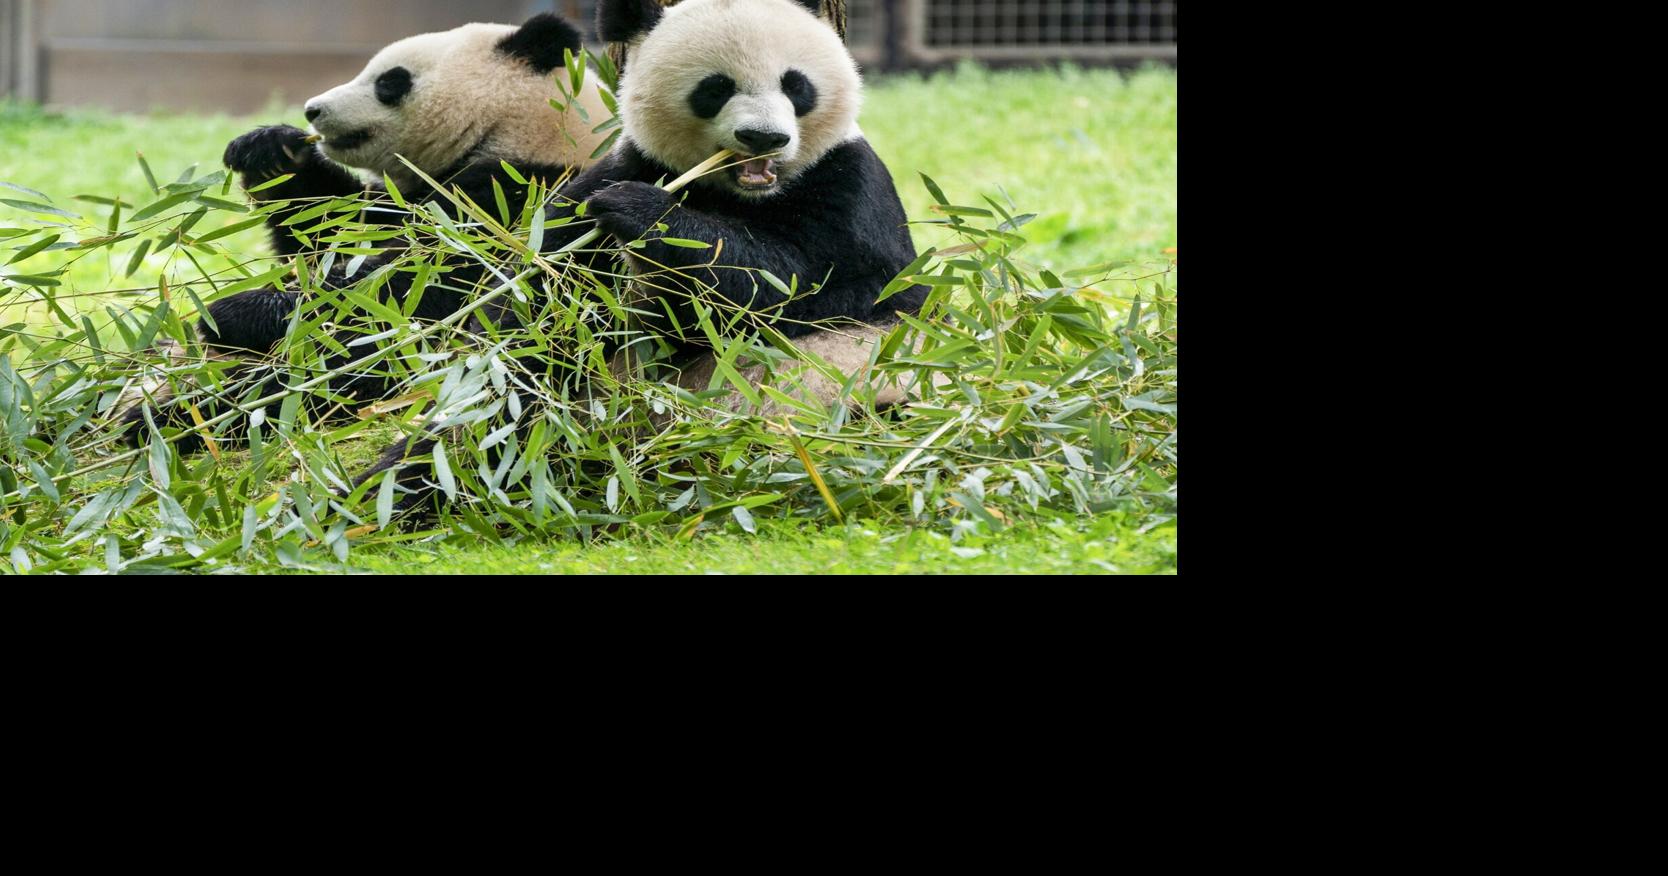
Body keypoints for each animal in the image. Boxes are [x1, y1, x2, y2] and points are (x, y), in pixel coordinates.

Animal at [116, 11, 610, 449]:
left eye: (389, 81)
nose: (312, 110)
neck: (521, 129)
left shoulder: (520, 200)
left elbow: (407, 289)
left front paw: (233, 312)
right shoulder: (399, 197)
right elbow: (327, 235)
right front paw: (271, 150)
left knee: (327, 376)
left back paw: (174, 418)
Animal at [350, 0, 931, 501]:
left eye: (796, 84)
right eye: (715, 88)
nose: (763, 139)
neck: (740, 193)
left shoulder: (851, 188)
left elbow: (808, 285)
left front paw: (646, 215)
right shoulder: (613, 173)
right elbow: (538, 315)